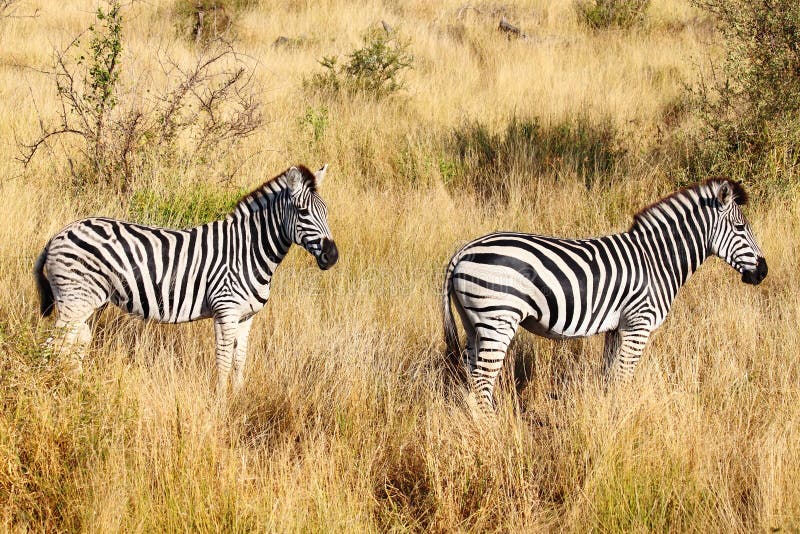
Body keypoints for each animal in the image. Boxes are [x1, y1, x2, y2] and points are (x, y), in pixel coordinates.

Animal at [33, 164, 338, 396]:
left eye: (326, 212)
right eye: (303, 213)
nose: (332, 256)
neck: (247, 251)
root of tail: (57, 235)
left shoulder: (246, 317)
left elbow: (240, 359)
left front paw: (239, 396)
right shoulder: (226, 311)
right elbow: (223, 360)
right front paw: (221, 403)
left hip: (88, 302)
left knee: (76, 340)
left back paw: (76, 385)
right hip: (75, 300)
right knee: (54, 344)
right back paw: (49, 387)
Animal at [442, 179, 768, 411]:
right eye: (740, 227)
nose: (763, 272)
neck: (657, 259)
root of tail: (463, 251)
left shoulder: (617, 327)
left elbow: (609, 376)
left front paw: (609, 414)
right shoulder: (639, 324)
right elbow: (624, 377)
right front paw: (623, 418)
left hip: (473, 323)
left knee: (471, 375)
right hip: (497, 319)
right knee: (483, 379)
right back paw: (493, 431)